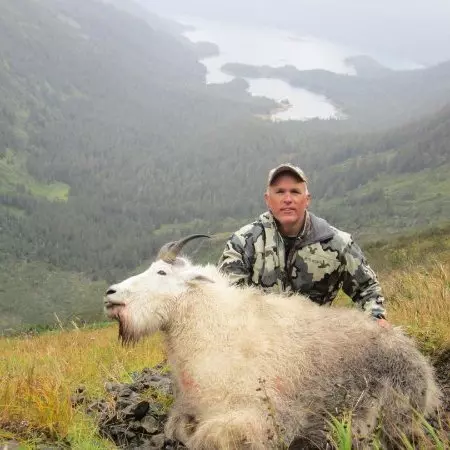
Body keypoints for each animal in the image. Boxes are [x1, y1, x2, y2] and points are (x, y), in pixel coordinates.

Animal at [103, 234, 442, 448]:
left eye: (161, 272)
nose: (110, 294)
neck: (213, 331)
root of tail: (422, 366)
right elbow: (178, 428)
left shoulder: (261, 417)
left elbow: (206, 437)